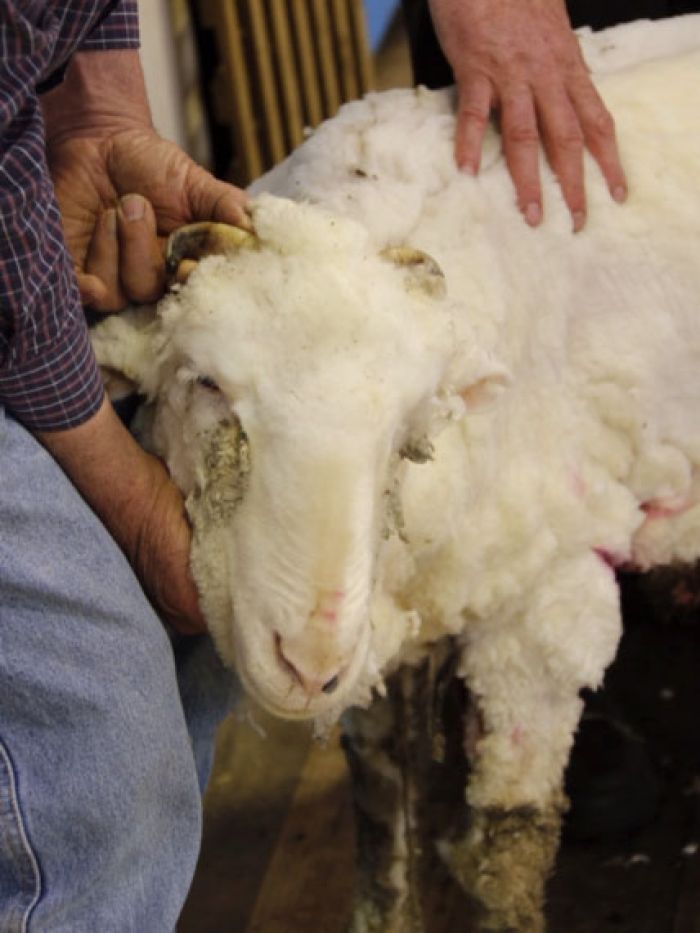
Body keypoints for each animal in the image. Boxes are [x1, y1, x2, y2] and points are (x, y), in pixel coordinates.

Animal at [92, 15, 700, 932]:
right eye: (206, 383)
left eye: (409, 427)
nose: (309, 659)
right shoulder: (380, 644)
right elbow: (384, 815)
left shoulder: (543, 611)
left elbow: (511, 843)